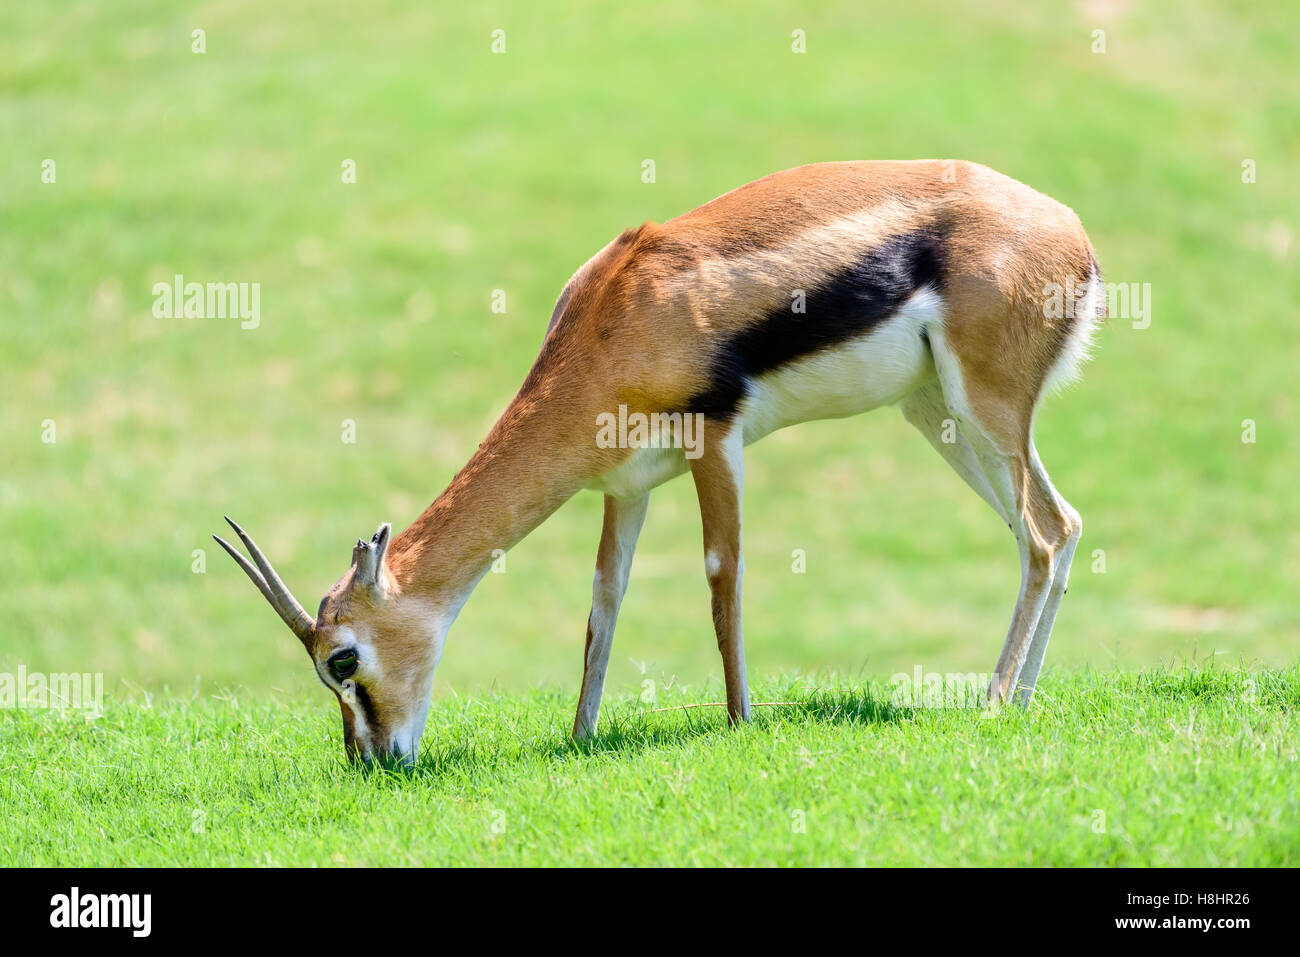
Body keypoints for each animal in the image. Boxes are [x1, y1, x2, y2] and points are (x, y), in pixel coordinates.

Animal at [216, 160, 1103, 765]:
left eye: (343, 659)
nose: (370, 758)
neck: (614, 316)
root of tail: (1073, 233)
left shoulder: (718, 438)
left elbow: (721, 574)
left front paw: (740, 719)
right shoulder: (626, 486)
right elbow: (603, 601)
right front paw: (579, 733)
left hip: (983, 410)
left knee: (1041, 535)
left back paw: (992, 702)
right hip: (940, 416)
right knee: (1057, 525)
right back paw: (1023, 699)